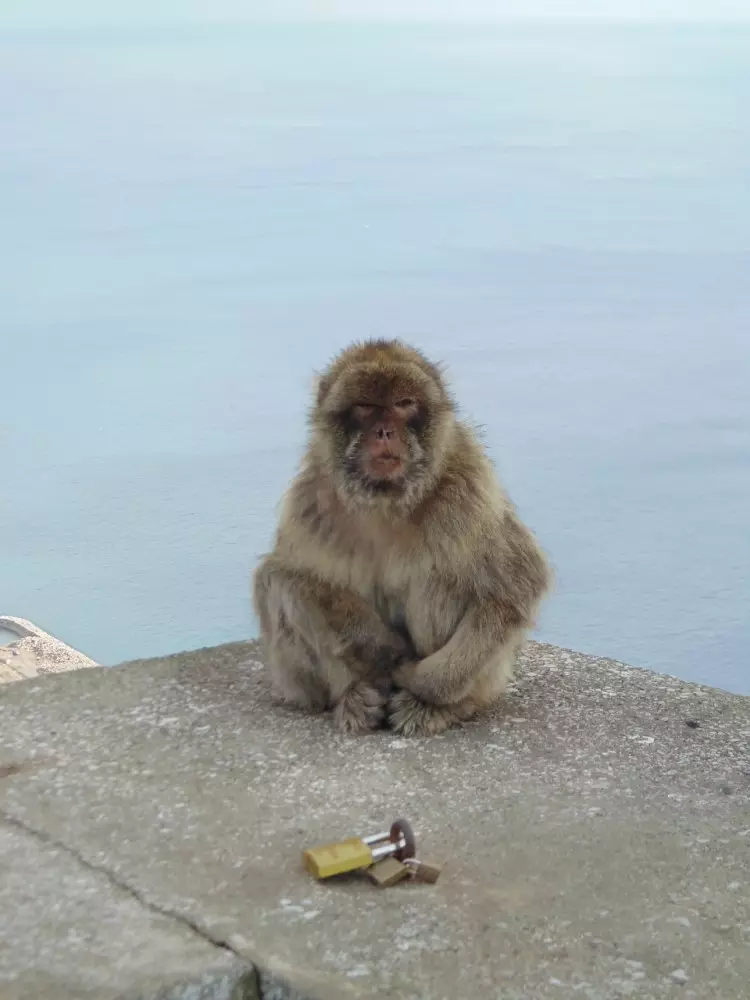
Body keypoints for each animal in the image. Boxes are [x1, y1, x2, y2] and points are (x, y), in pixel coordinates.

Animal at [254, 336, 552, 736]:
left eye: (404, 404)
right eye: (365, 406)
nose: (384, 431)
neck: (387, 501)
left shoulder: (471, 491)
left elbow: (516, 586)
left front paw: (424, 682)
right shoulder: (308, 499)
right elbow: (289, 573)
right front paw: (380, 647)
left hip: (487, 680)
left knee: (443, 579)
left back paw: (437, 705)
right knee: (278, 584)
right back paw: (354, 695)